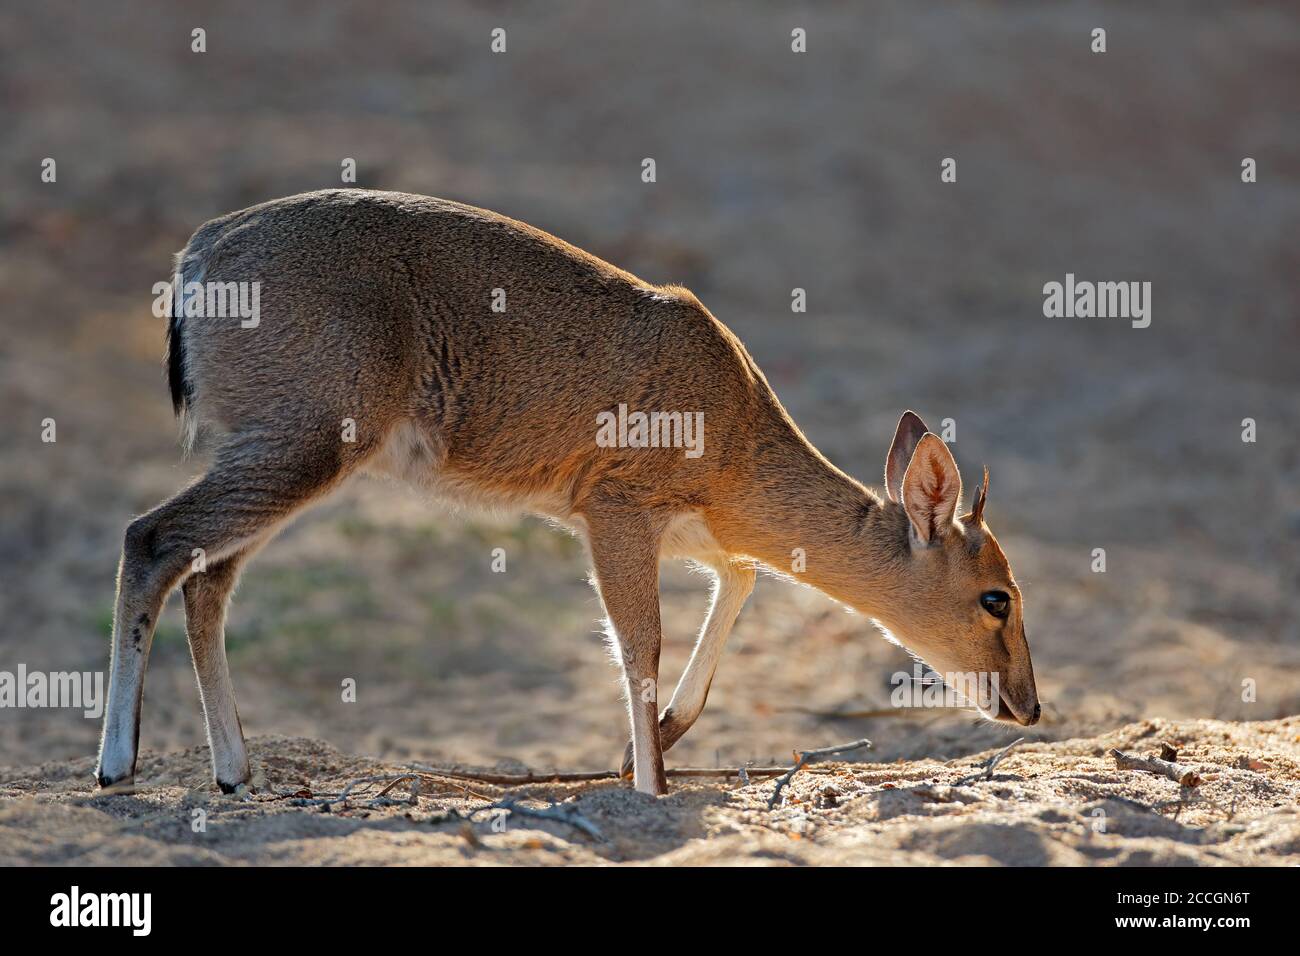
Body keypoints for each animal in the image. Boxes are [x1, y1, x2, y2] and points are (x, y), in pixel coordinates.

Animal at [96, 188, 1040, 797]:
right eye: (996, 595)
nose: (1029, 705)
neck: (733, 430)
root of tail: (198, 257)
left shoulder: (697, 536)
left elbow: (739, 585)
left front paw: (645, 750)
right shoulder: (614, 510)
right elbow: (639, 645)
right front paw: (649, 786)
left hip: (281, 454)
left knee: (206, 577)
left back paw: (232, 772)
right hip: (300, 446)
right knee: (149, 537)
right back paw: (117, 765)